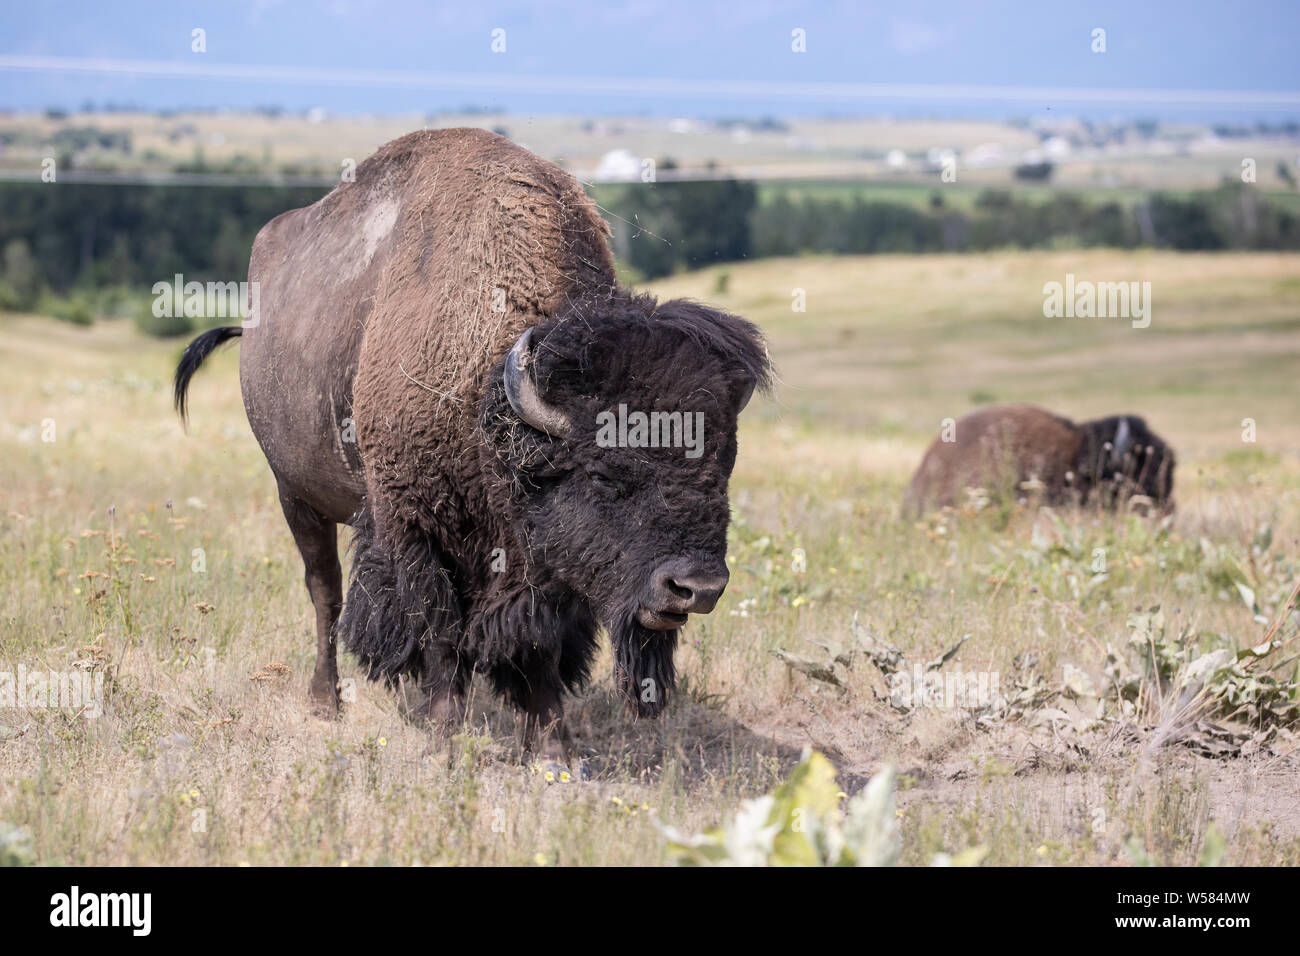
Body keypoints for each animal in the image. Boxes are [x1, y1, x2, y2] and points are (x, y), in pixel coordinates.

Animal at [174, 128, 770, 761]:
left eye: (724, 467)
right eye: (605, 474)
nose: (695, 588)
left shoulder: (542, 571)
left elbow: (539, 647)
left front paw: (554, 747)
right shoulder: (416, 531)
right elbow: (440, 631)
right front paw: (442, 734)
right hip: (296, 495)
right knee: (325, 593)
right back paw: (324, 702)